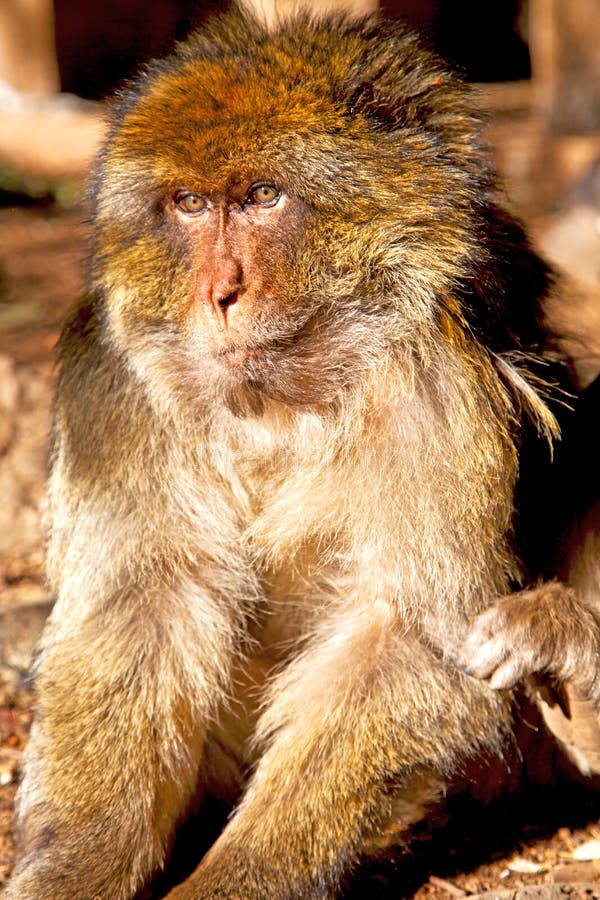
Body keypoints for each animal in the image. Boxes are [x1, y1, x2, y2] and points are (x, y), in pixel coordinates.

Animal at [5, 10, 600, 900]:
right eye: (189, 204)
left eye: (263, 198)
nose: (219, 292)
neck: (277, 399)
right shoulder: (112, 383)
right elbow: (140, 611)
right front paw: (72, 868)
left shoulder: (437, 380)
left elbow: (407, 640)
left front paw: (230, 882)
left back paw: (564, 641)